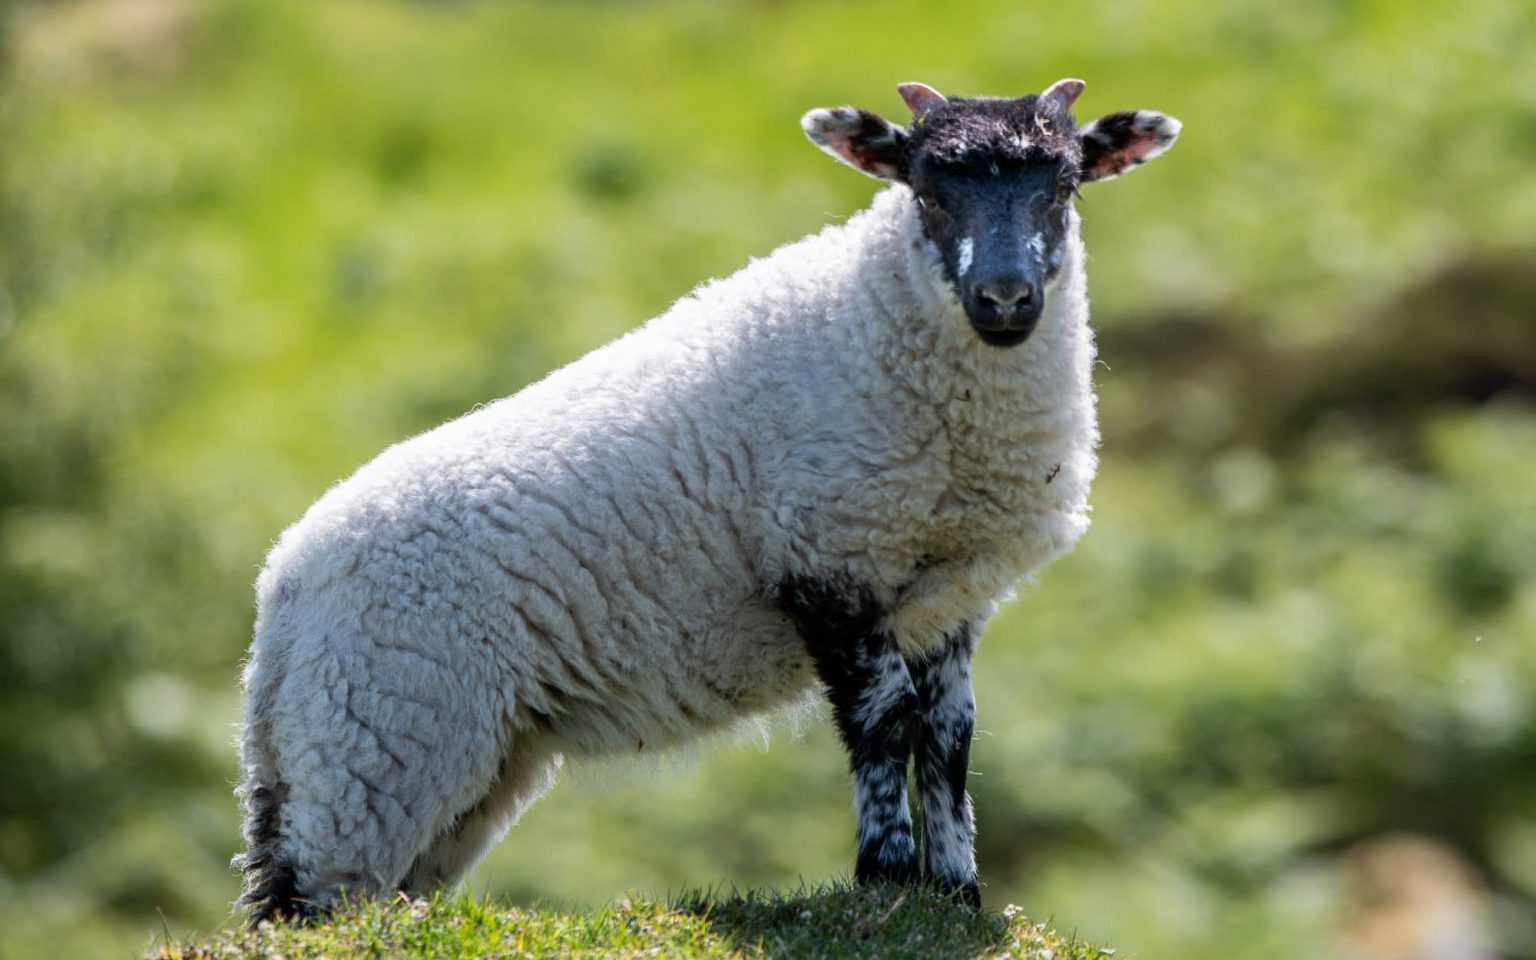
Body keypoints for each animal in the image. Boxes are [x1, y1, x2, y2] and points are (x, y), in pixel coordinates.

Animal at [234, 77, 1180, 923]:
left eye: (1064, 185)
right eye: (926, 190)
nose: (1005, 299)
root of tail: (281, 595)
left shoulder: (949, 593)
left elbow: (948, 738)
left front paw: (955, 893)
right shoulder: (828, 559)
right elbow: (883, 724)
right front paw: (884, 881)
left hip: (442, 759)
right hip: (381, 736)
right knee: (306, 901)